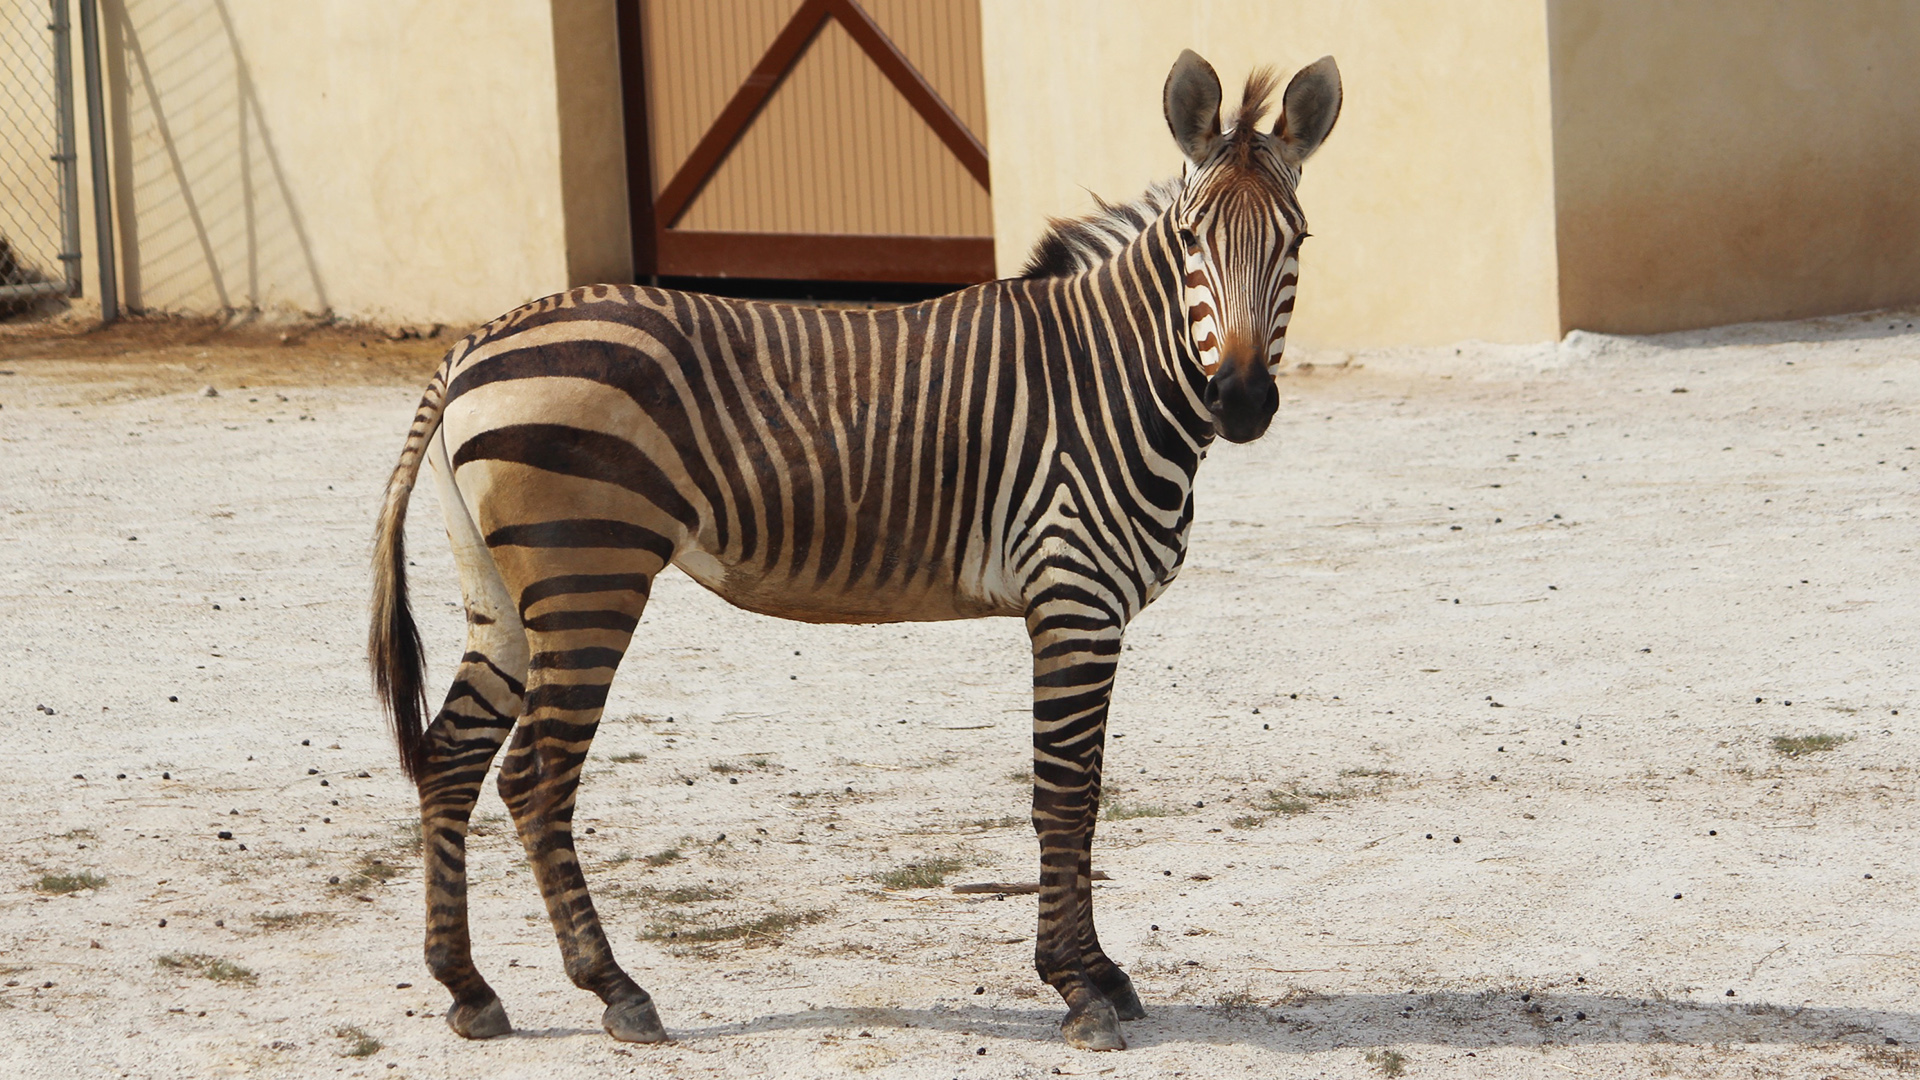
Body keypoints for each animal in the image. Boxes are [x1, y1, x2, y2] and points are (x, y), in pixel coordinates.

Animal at [369, 49, 1340, 1052]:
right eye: (1190, 239)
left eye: (1298, 241)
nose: (1241, 401)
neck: (1113, 377)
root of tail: (473, 345)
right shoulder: (1073, 594)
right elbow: (1066, 792)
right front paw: (1078, 986)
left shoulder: (1089, 606)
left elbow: (1087, 789)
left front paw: (1100, 972)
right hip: (588, 575)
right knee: (535, 777)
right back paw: (615, 988)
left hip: (501, 587)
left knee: (449, 756)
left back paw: (467, 987)